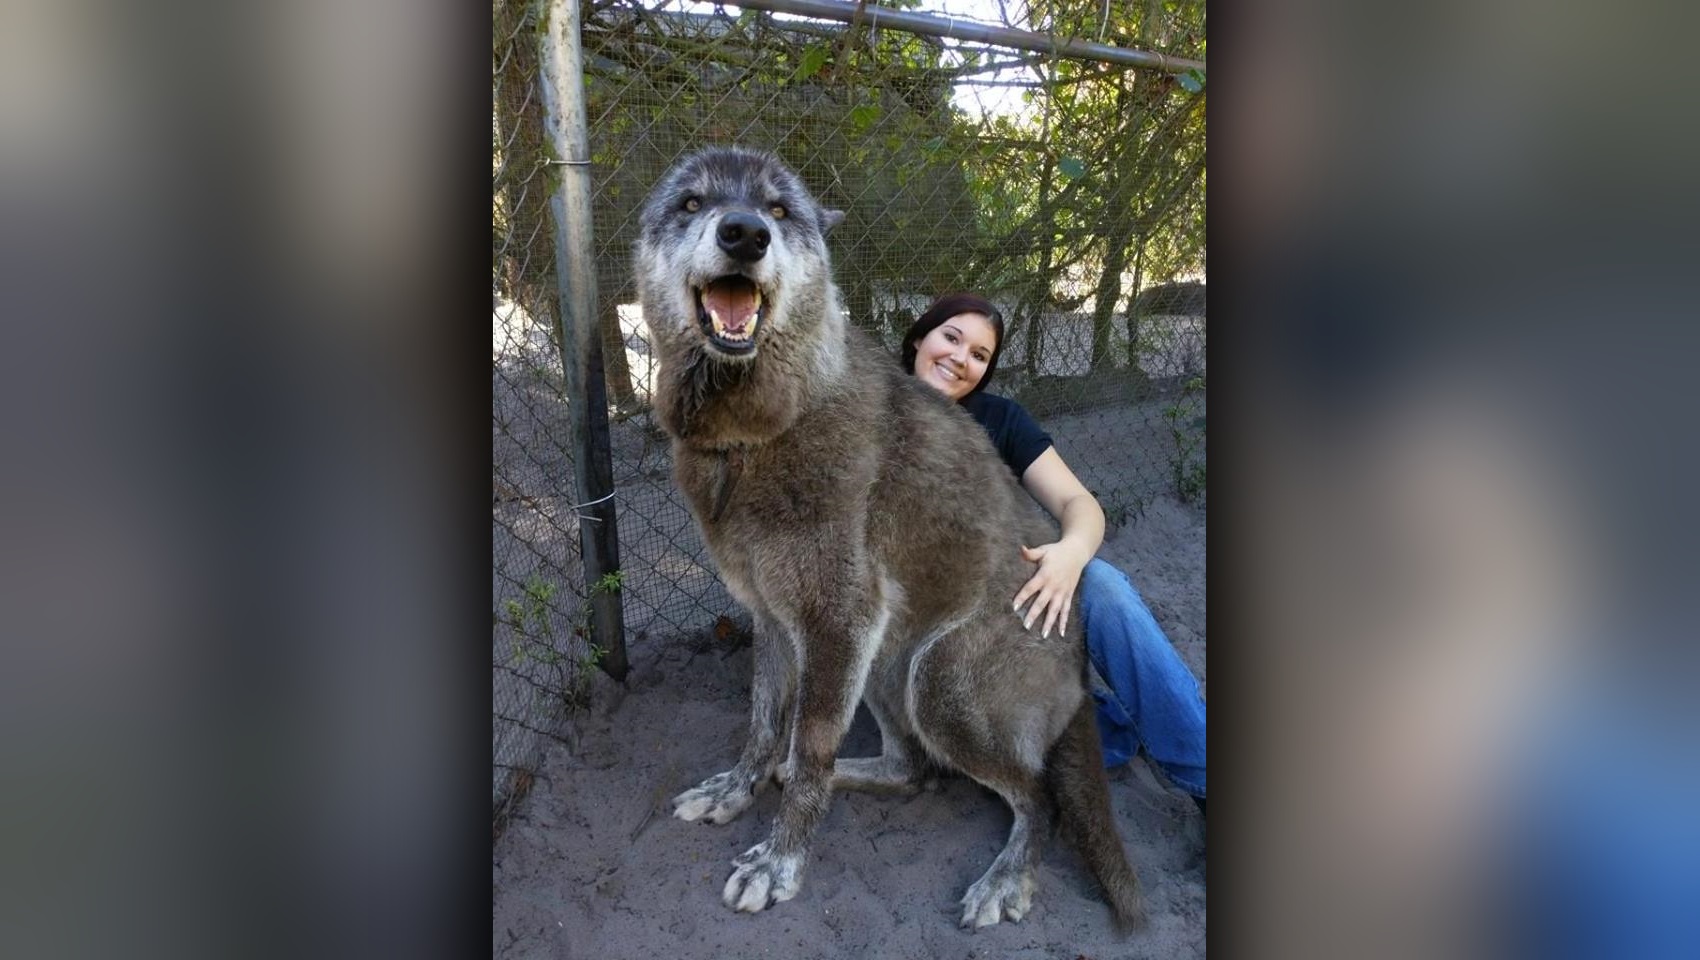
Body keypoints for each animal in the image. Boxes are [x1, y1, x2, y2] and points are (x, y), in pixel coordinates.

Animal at [634, 146, 1144, 930]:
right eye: (691, 203)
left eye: (779, 210)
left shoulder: (838, 619)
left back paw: (1005, 878)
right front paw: (738, 789)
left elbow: (809, 745)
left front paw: (780, 863)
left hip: (935, 680)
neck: (756, 432)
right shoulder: (776, 620)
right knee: (912, 771)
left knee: (1039, 798)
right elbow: (763, 724)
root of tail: (1081, 669)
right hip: (883, 662)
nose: (745, 234)